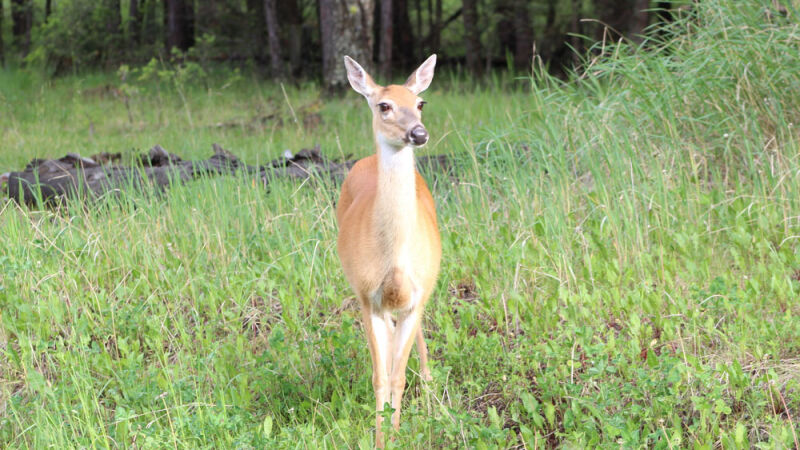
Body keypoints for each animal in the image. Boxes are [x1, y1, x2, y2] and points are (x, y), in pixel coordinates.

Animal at [336, 54, 441, 448]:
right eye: (384, 105)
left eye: (421, 103)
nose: (419, 134)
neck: (393, 258)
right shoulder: (368, 297)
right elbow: (380, 377)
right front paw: (381, 438)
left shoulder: (416, 293)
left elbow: (397, 375)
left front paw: (398, 434)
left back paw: (430, 393)